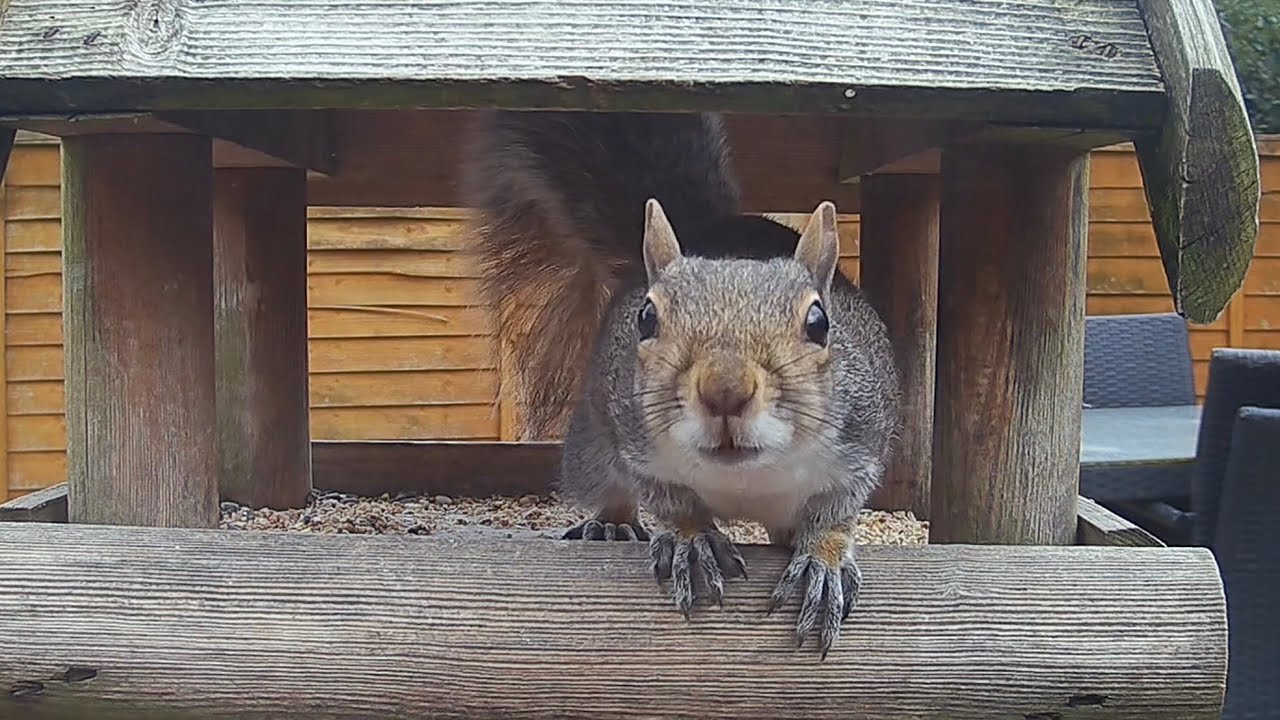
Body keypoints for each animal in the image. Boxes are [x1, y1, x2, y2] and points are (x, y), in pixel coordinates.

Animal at [461, 110, 902, 658]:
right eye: (646, 317)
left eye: (819, 322)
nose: (725, 390)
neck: (743, 476)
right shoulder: (636, 444)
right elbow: (668, 498)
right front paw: (692, 539)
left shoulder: (861, 444)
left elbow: (838, 509)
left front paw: (824, 559)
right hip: (592, 445)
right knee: (605, 483)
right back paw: (611, 522)